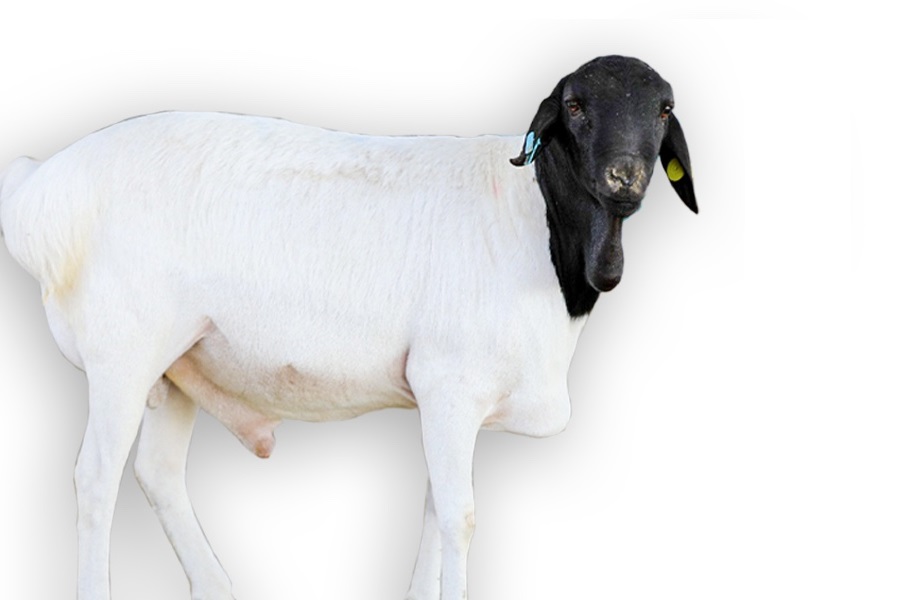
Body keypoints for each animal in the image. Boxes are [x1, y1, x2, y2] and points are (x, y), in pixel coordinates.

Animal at [0, 55, 696, 600]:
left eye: (663, 111)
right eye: (574, 106)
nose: (624, 179)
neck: (536, 219)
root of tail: (41, 186)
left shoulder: (444, 403)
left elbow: (435, 508)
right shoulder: (450, 384)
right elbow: (460, 517)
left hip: (179, 362)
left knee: (158, 473)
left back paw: (217, 586)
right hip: (122, 348)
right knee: (95, 479)